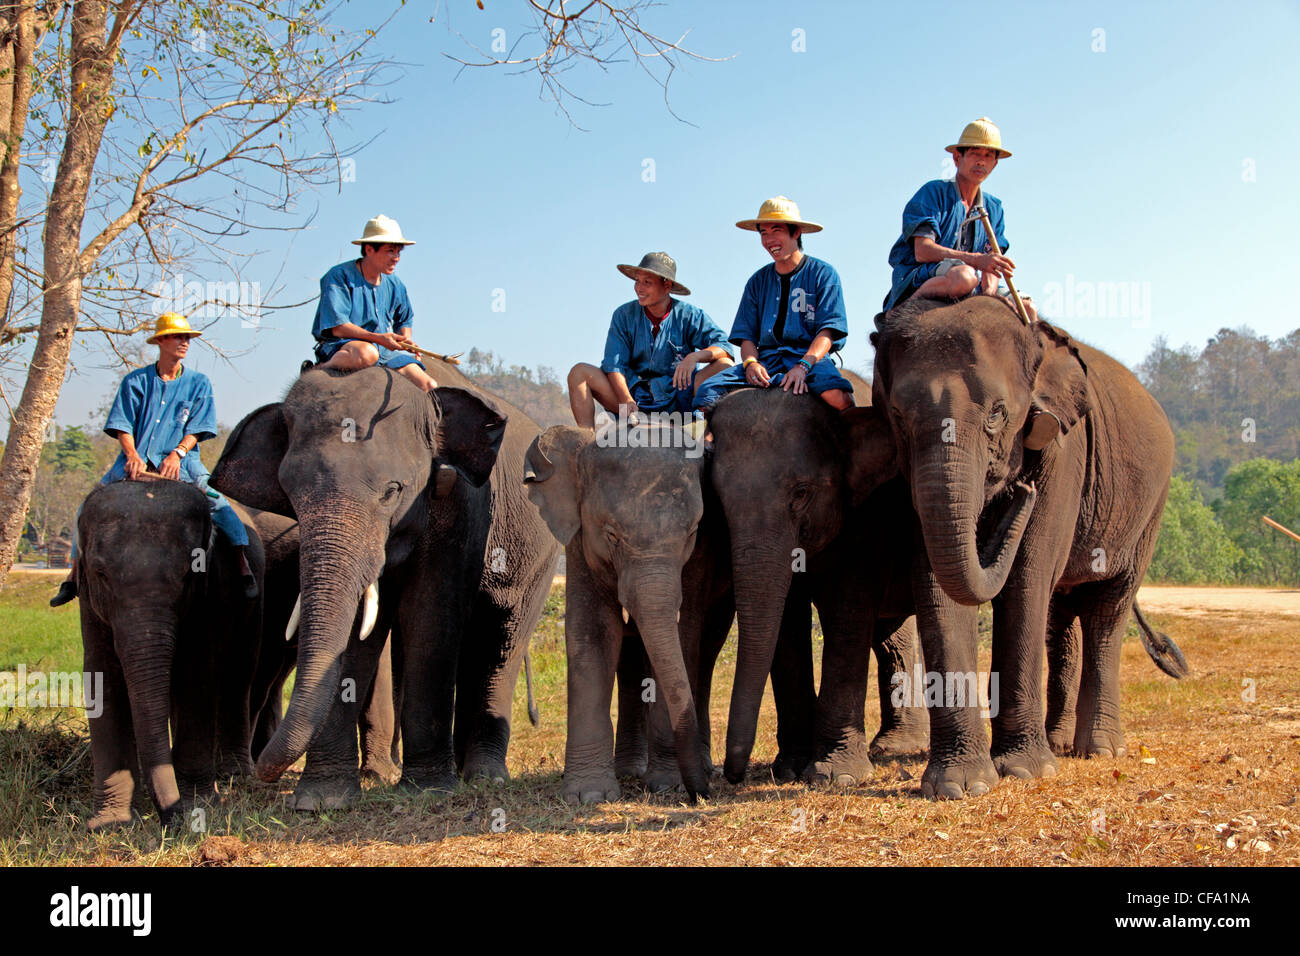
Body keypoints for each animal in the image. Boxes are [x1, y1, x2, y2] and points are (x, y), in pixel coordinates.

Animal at [73, 481, 263, 827]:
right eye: (100, 573)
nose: (172, 820)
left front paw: (199, 803)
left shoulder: (213, 588)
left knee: (239, 673)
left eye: (189, 574)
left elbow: (195, 673)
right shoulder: (87, 599)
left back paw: (234, 776)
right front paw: (109, 824)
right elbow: (101, 676)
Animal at [211, 361, 559, 811]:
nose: (260, 775)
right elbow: (357, 632)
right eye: (290, 493)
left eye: (392, 491)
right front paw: (322, 800)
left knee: (503, 639)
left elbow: (430, 614)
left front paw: (427, 790)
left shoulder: (461, 499)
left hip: (540, 555)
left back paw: (486, 777)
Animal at [522, 426, 738, 801]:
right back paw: (631, 771)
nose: (702, 795)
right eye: (611, 535)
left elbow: (685, 634)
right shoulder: (580, 542)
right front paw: (589, 796)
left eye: (692, 532)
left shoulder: (701, 554)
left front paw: (666, 785)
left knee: (708, 649)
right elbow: (592, 632)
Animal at [873, 293, 1180, 801]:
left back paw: (1100, 750)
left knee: (1108, 608)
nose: (1023, 489)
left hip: (1150, 508)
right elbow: (936, 583)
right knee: (1062, 614)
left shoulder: (1064, 451)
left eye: (998, 414)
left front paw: (1024, 771)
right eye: (897, 417)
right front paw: (961, 786)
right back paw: (1061, 741)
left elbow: (1028, 576)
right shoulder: (906, 473)